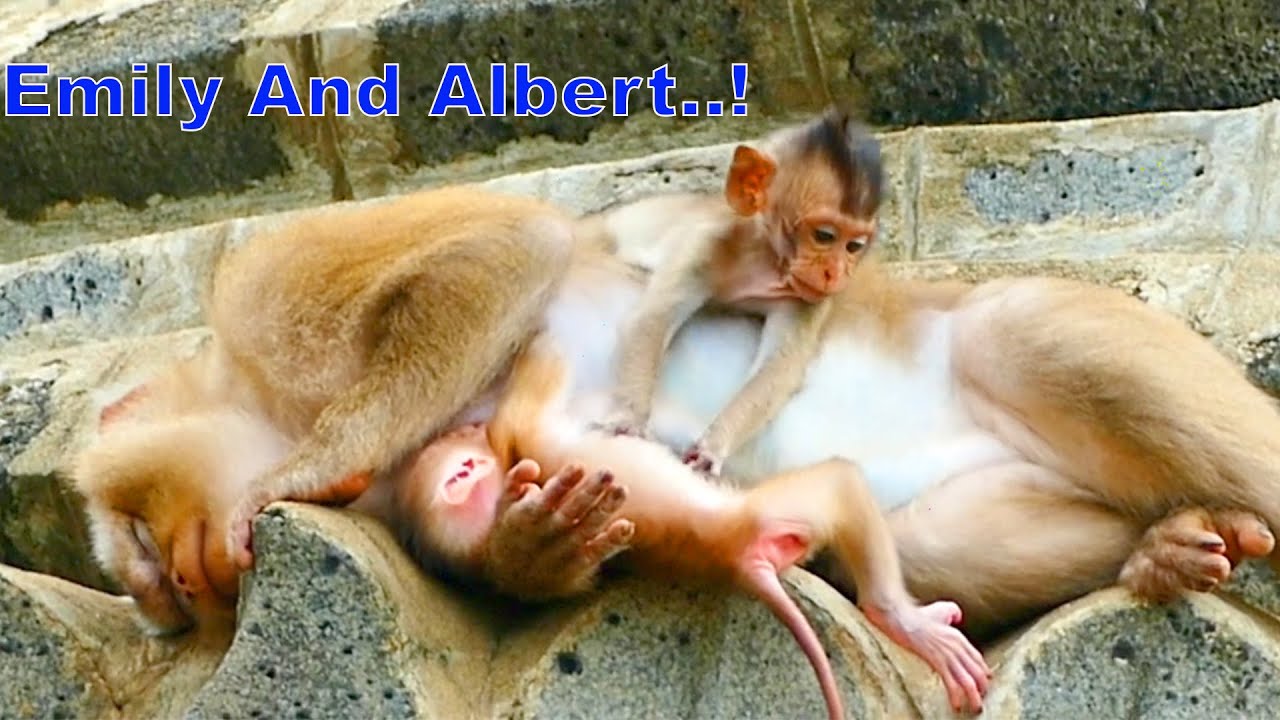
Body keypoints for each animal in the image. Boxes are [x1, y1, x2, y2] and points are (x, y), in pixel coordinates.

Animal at [382, 331, 990, 717]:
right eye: (464, 441)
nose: (465, 429)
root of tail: (737, 561)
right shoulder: (525, 434)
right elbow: (544, 379)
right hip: (776, 514)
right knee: (842, 481)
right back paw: (900, 618)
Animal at [600, 109, 882, 476]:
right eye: (824, 235)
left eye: (854, 246)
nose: (835, 273)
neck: (765, 257)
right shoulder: (705, 243)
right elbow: (652, 319)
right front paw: (628, 418)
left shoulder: (811, 299)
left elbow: (779, 367)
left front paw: (713, 447)